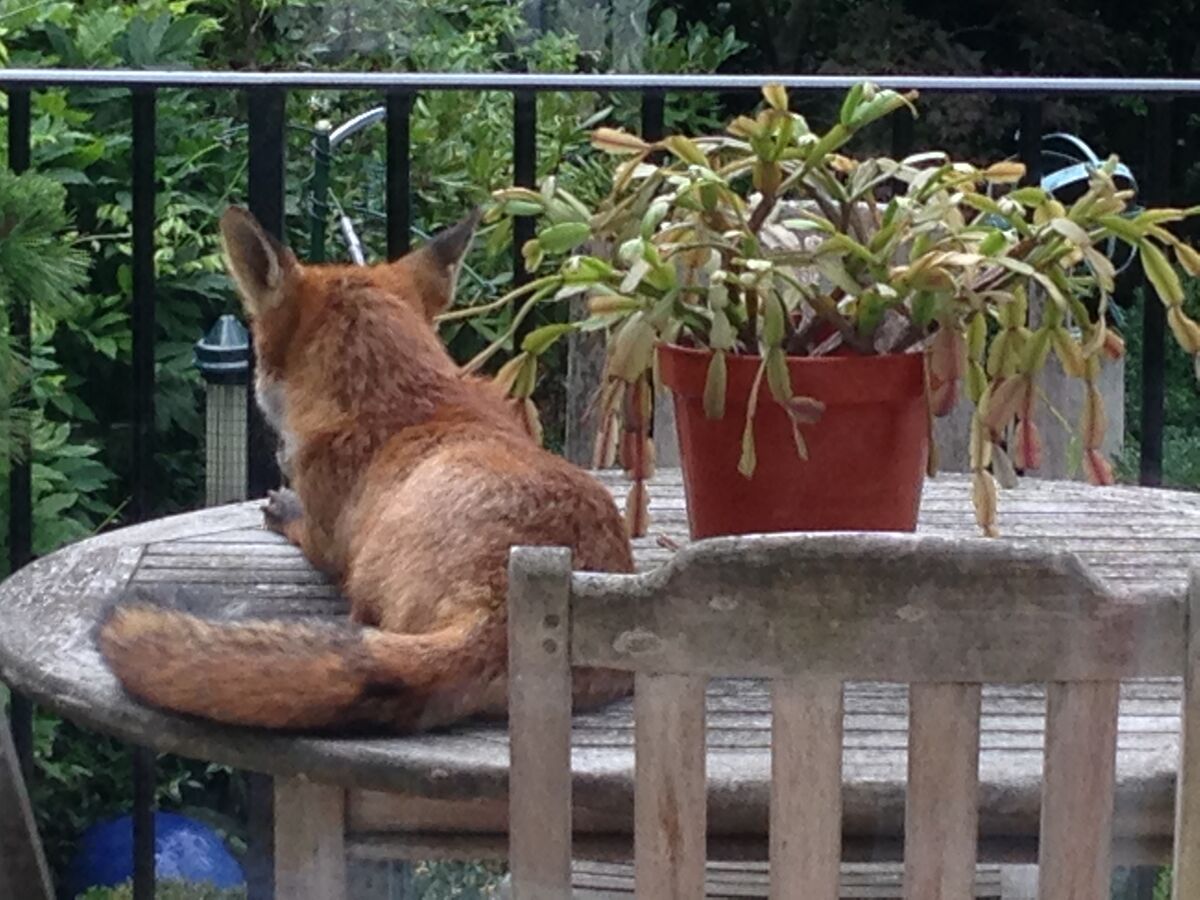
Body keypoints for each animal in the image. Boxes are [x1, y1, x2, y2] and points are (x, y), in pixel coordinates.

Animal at [98, 206, 635, 732]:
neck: (401, 396)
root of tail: (498, 614)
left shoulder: (327, 539)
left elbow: (306, 534)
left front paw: (283, 507)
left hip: (370, 572)